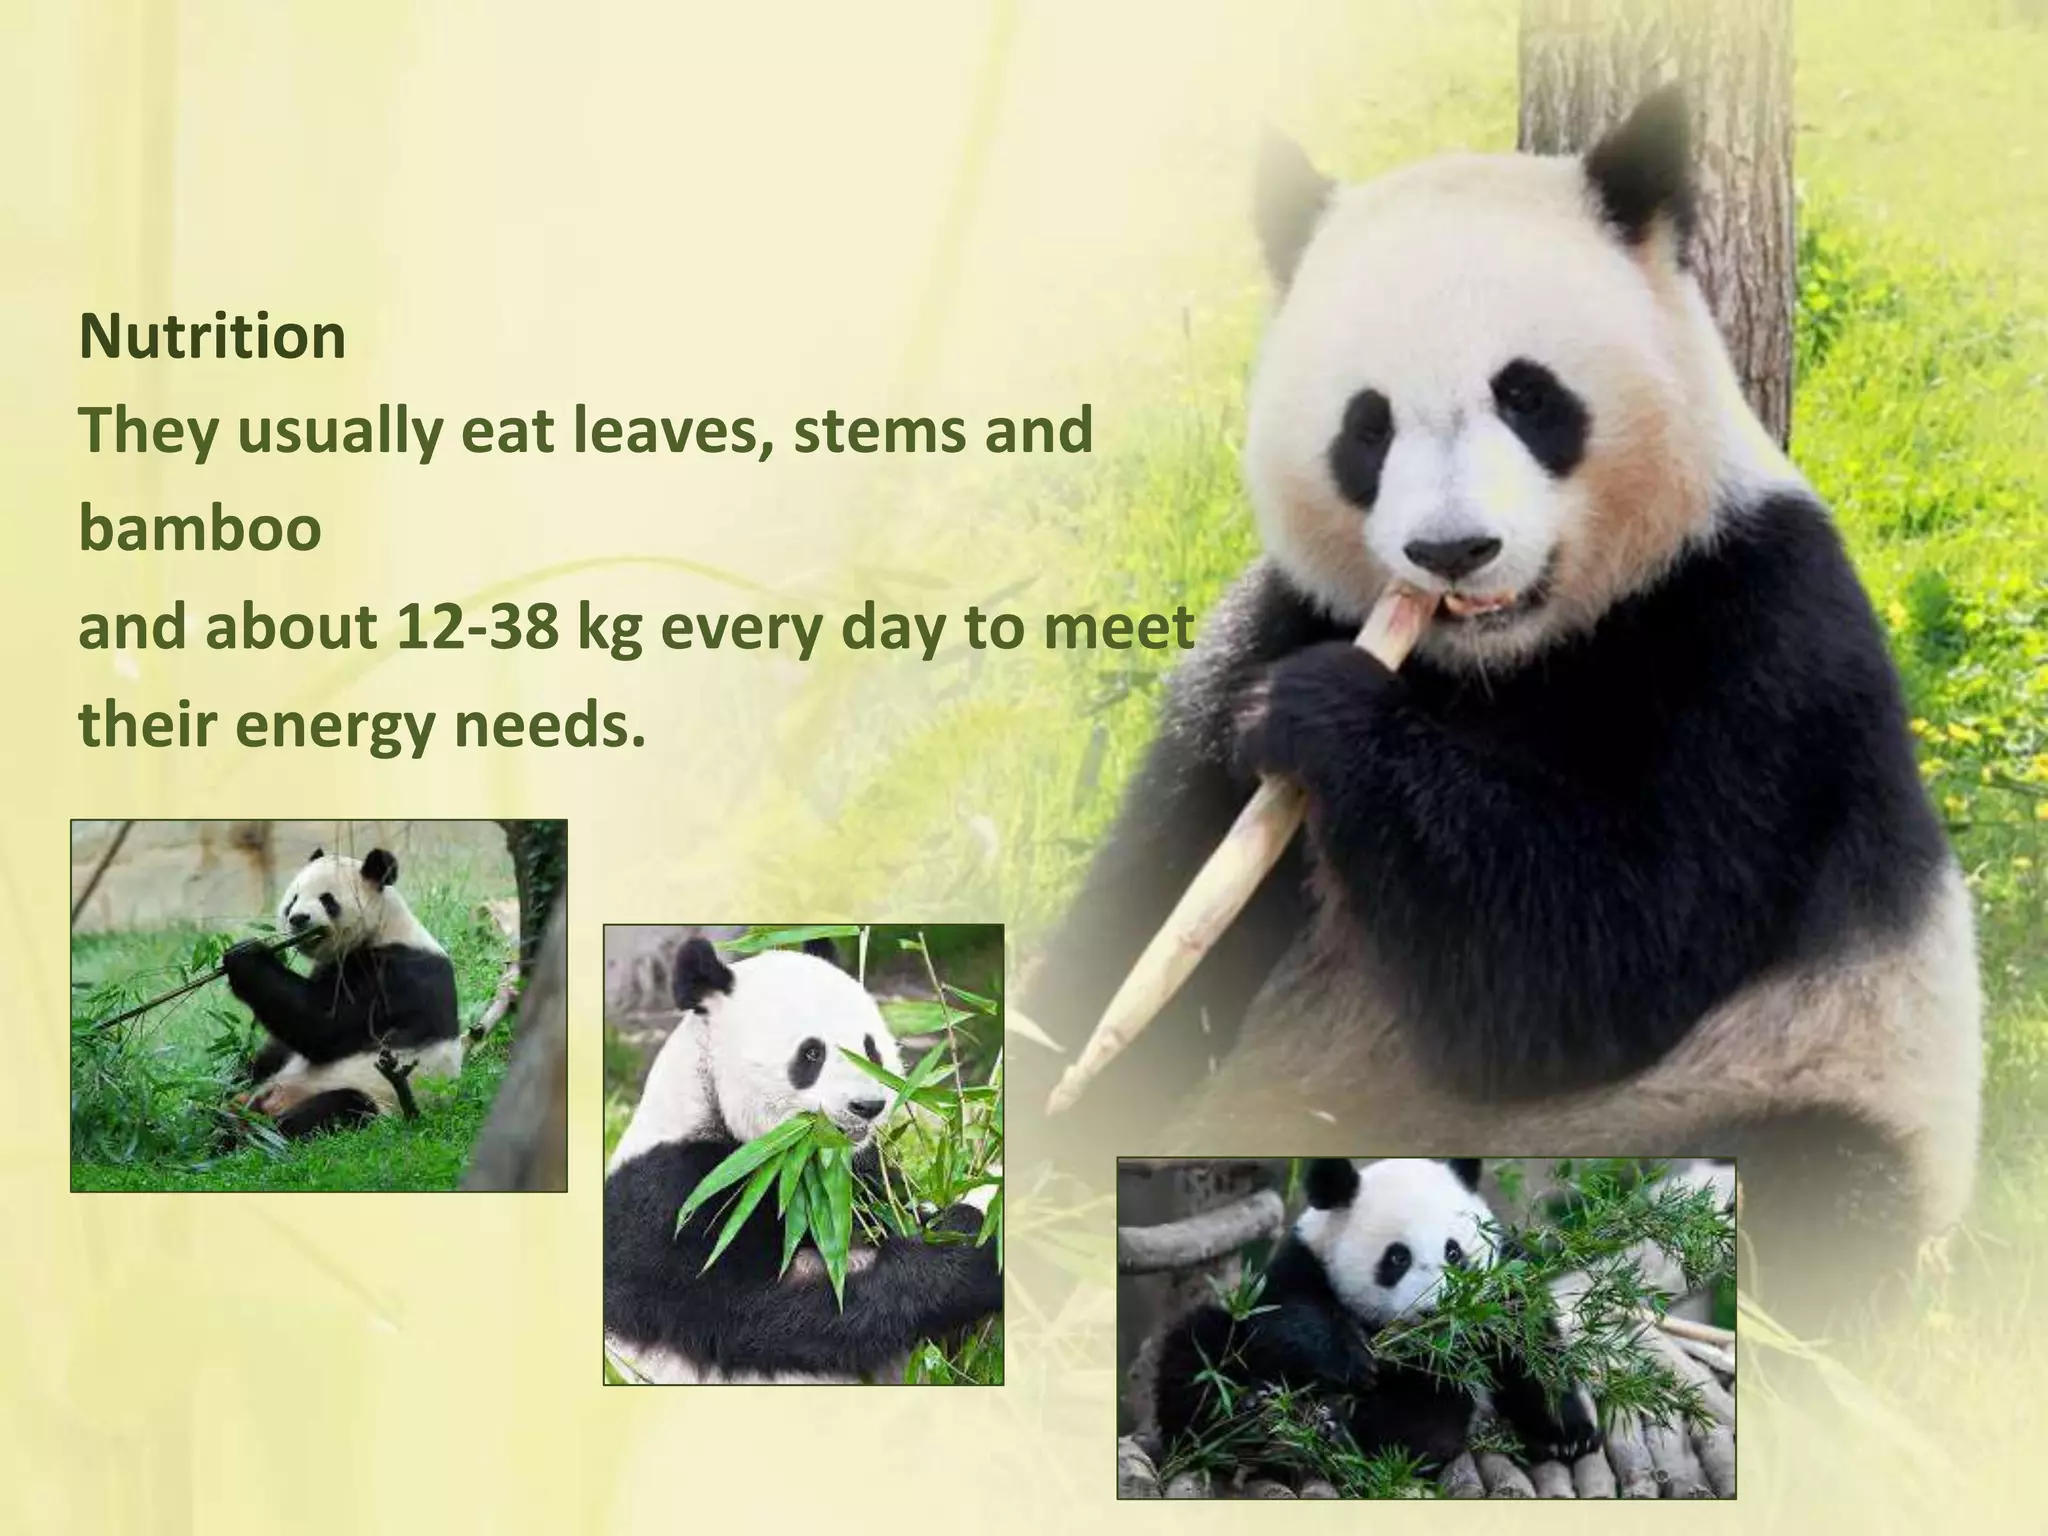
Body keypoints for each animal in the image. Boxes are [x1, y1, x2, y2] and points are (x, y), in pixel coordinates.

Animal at [222, 847, 463, 1139]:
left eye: (327, 900)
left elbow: (323, 1027)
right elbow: (286, 1034)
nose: (298, 919)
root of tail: (267, 1103)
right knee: (253, 1072)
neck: (385, 929)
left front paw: (245, 957)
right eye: (293, 899)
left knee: (338, 1108)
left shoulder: (397, 976)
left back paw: (251, 1134)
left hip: (377, 1096)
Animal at [604, 937, 1004, 1383]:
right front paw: (969, 1246)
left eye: (870, 1049)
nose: (867, 1107)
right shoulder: (673, 1199)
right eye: (812, 1053)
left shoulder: (855, 1175)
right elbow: (768, 1316)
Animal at [1020, 88, 1981, 1329]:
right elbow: (1157, 900)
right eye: (1366, 424)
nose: (1450, 551)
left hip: (1805, 1080)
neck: (1496, 660)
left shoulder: (1755, 637)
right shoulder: (1280, 614)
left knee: (1822, 1195)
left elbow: (1592, 965)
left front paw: (1327, 718)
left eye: (1527, 397)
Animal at [1154, 1158, 1599, 1469]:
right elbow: (1284, 1318)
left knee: (1427, 1414)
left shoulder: (1502, 1283)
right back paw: (1246, 1412)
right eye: (1397, 1258)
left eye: (1454, 1252)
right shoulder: (1301, 1264)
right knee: (1198, 1351)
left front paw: (1567, 1435)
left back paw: (1337, 1433)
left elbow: (1530, 1350)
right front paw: (1350, 1359)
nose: (1437, 1312)